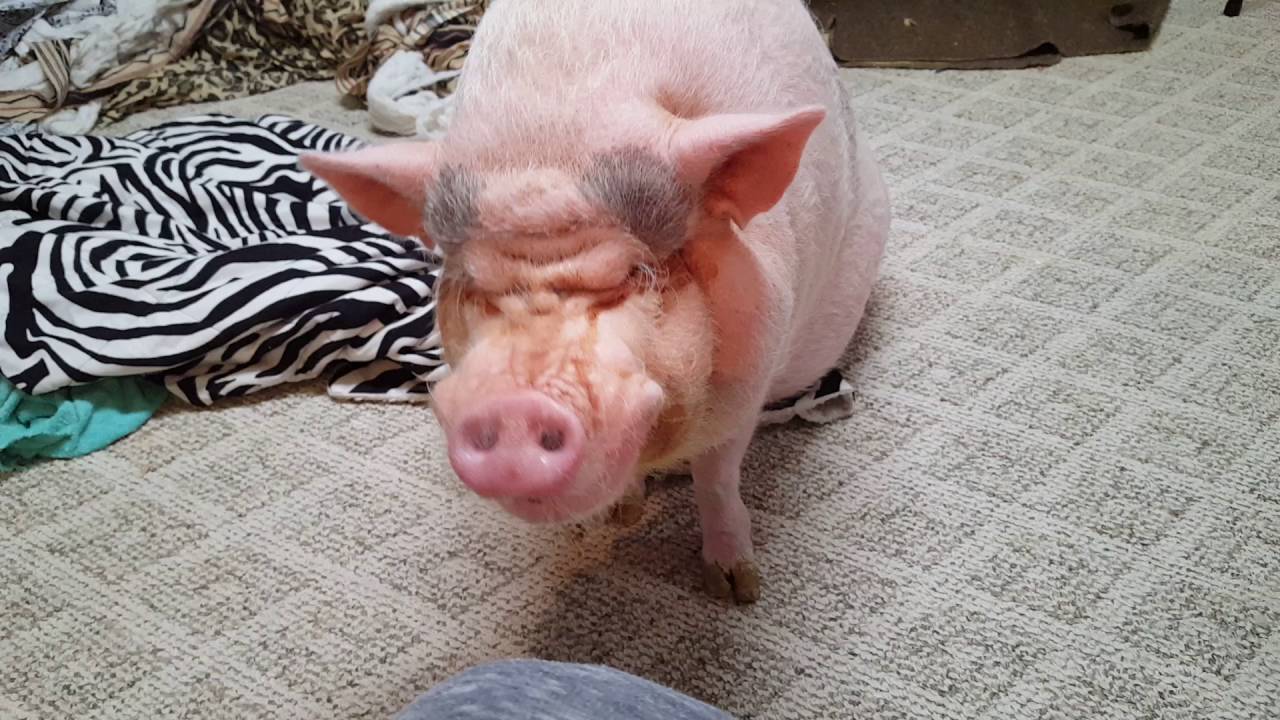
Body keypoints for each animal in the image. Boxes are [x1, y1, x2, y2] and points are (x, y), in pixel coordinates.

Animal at [301, 0, 889, 603]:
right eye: (477, 283)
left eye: (632, 274)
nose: (514, 406)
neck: (550, 135)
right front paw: (616, 519)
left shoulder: (749, 372)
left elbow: (717, 476)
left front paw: (736, 591)